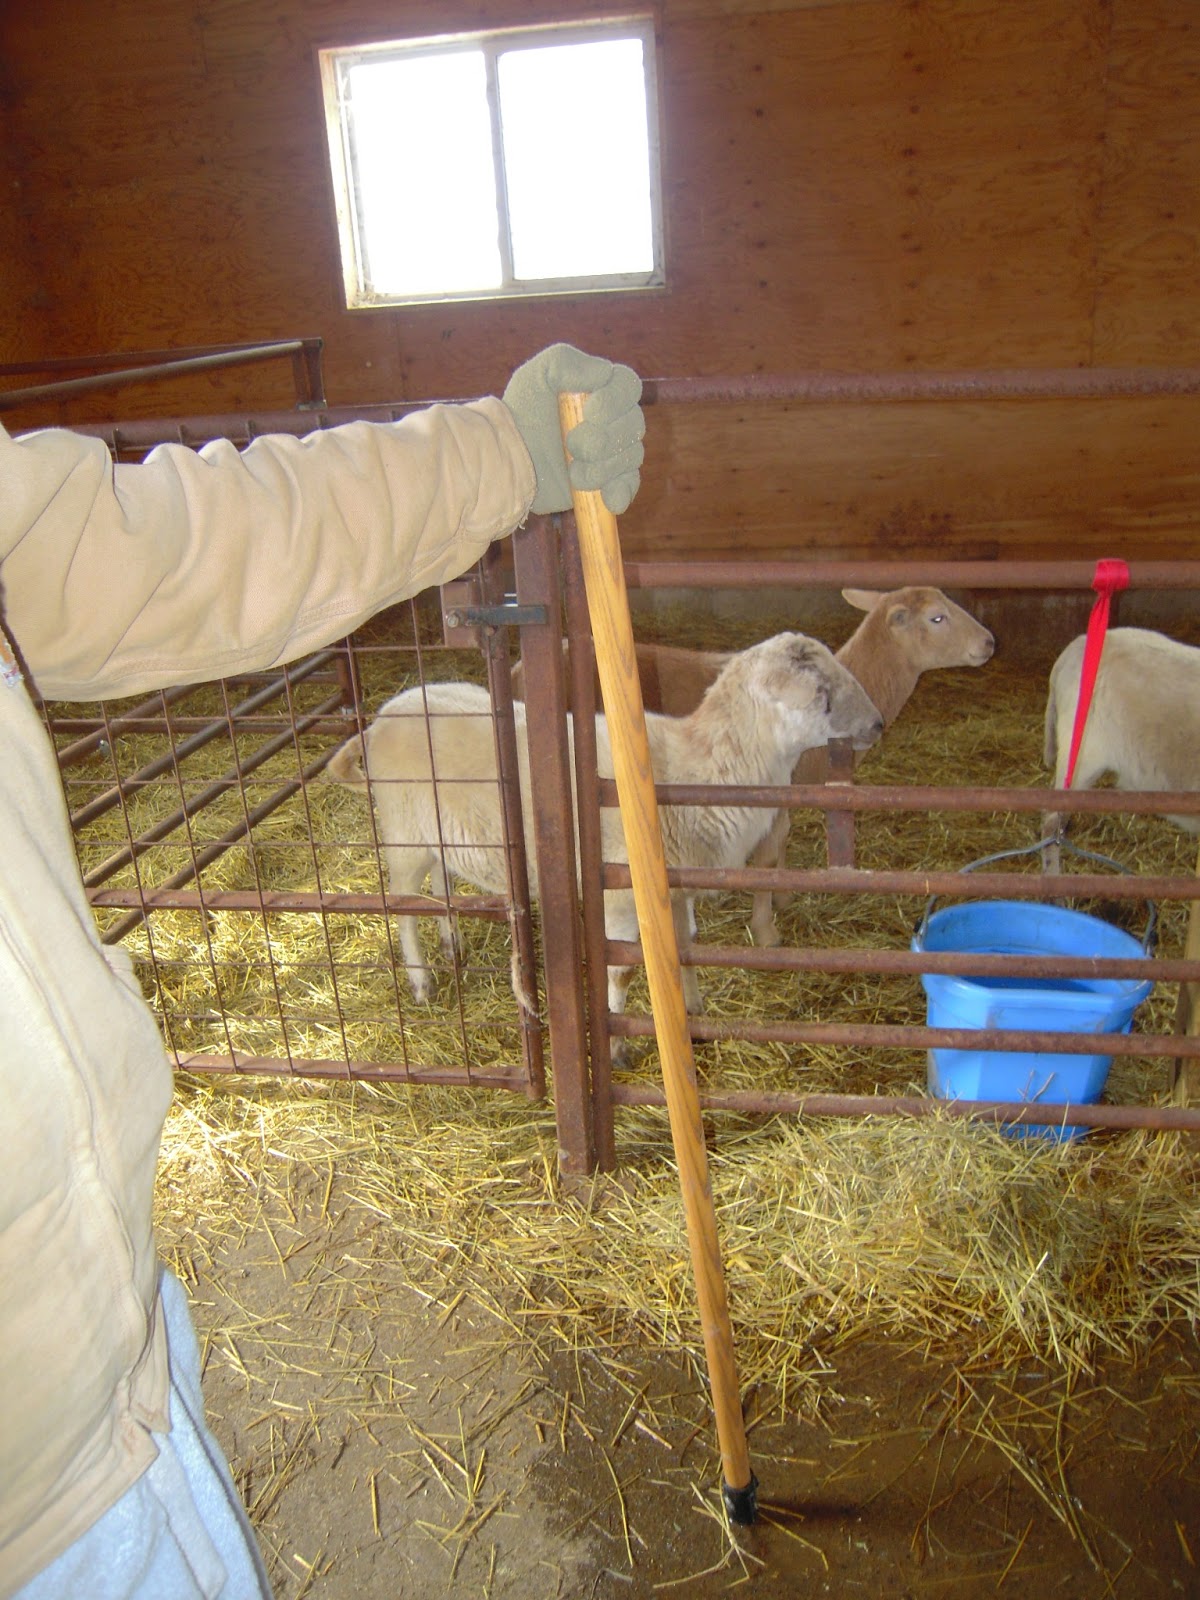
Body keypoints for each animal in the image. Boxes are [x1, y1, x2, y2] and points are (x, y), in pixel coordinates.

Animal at [328, 633, 883, 1030]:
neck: (695, 766)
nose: (878, 725)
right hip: (402, 831)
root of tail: (379, 719)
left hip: (439, 833)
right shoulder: (620, 897)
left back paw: (452, 944)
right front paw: (617, 1033)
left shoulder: (675, 890)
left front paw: (693, 1010)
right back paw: (421, 981)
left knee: (440, 882)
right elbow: (623, 967)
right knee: (402, 905)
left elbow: (685, 951)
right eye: (822, 693)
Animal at [512, 587, 995, 944]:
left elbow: (778, 846)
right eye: (938, 618)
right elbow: (765, 854)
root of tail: (519, 670)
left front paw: (779, 899)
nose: (990, 642)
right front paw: (765, 929)